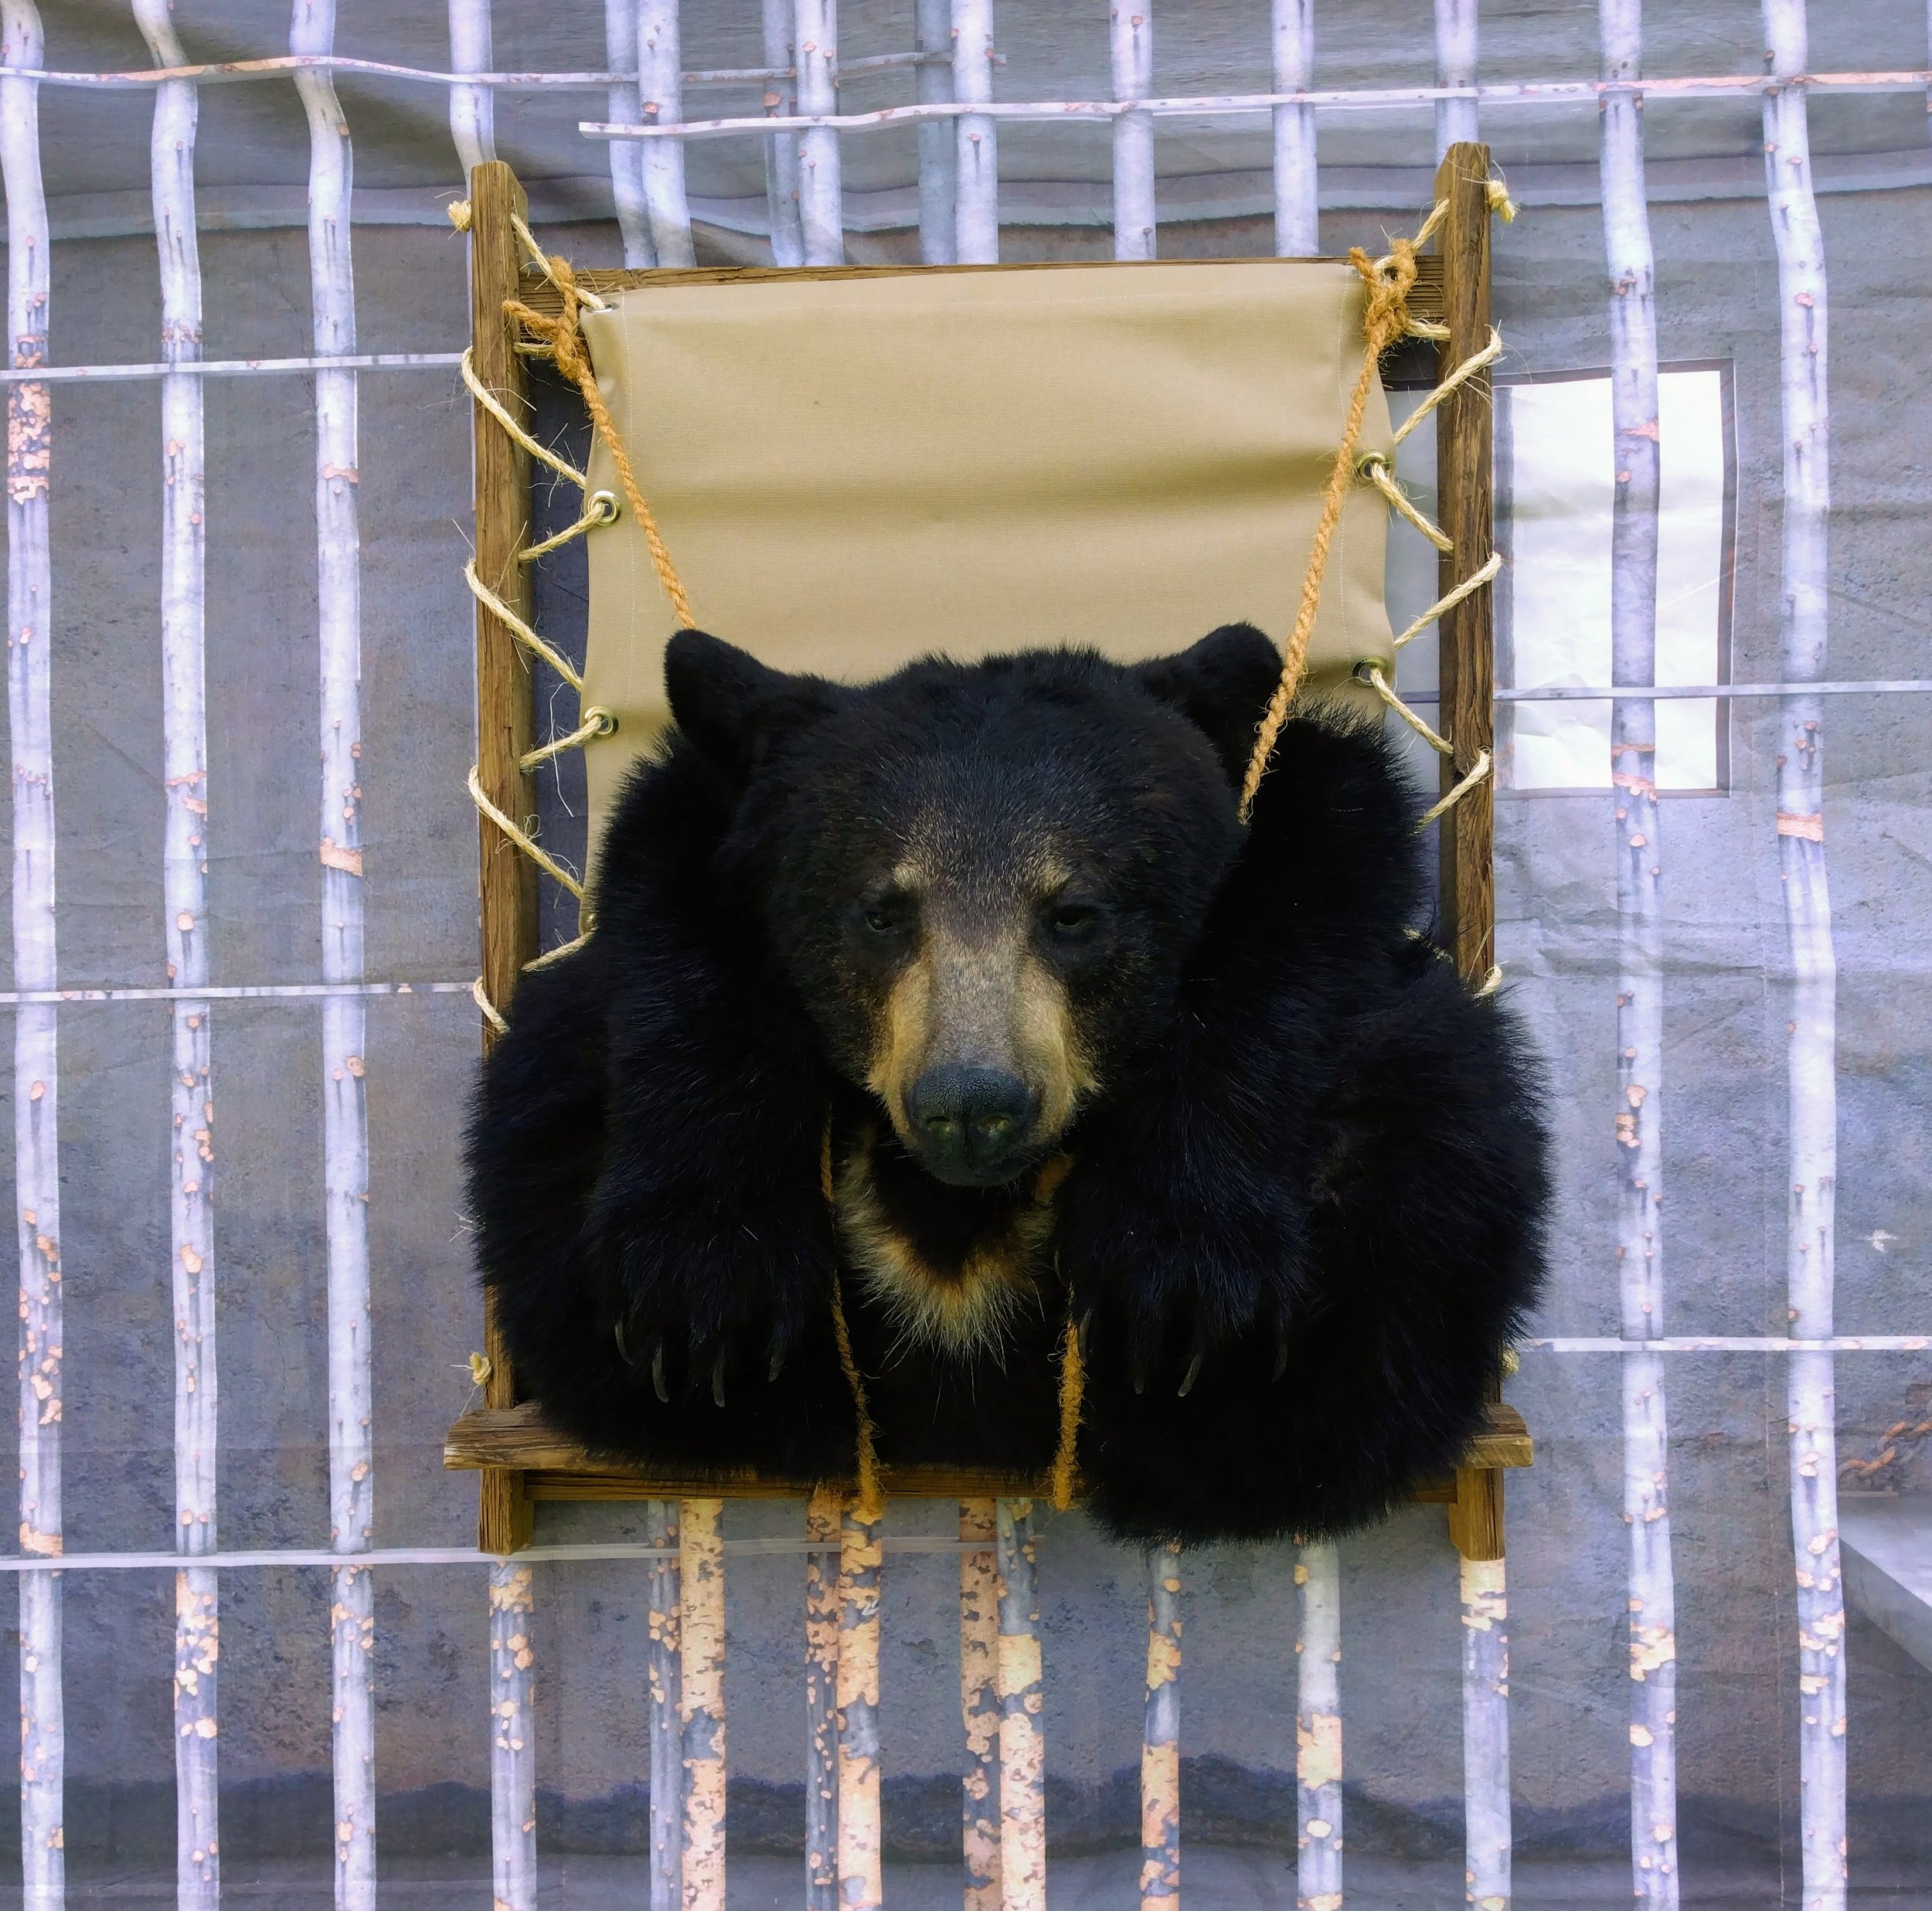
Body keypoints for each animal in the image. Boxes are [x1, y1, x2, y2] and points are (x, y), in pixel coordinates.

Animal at [465, 622, 1548, 1545]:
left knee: (1429, 1149)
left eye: (1074, 913)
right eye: (881, 912)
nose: (972, 1108)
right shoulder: (699, 826)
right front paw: (701, 1292)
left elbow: (1305, 902)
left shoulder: (1308, 826)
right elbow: (673, 917)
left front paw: (1181, 1283)